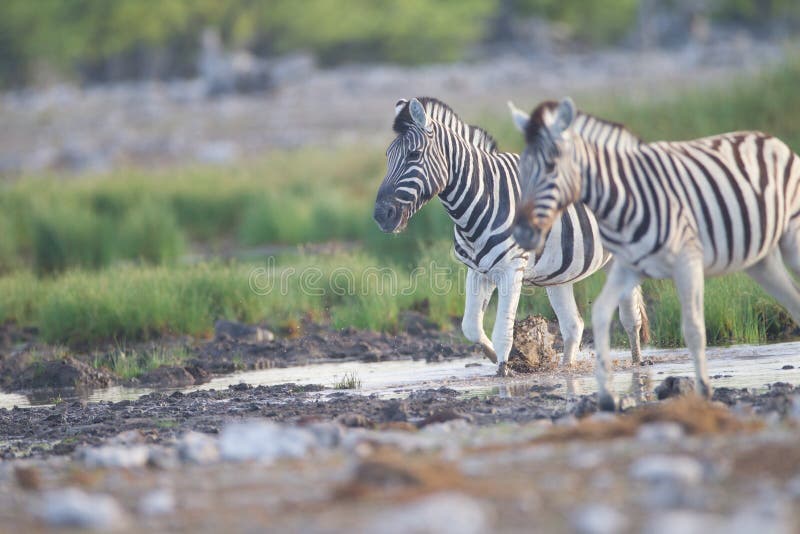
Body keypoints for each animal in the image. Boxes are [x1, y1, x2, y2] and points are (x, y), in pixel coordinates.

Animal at [373, 97, 649, 377]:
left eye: (414, 155)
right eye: (386, 156)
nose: (380, 215)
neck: (479, 202)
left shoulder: (511, 269)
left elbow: (502, 333)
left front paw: (505, 371)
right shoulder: (478, 271)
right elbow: (470, 327)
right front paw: (500, 358)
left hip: (621, 256)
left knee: (630, 318)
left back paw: (638, 363)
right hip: (559, 272)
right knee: (574, 324)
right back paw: (566, 367)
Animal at [508, 97, 800, 409]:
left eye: (551, 167)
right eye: (522, 169)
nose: (523, 232)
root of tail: (768, 138)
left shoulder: (687, 262)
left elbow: (693, 329)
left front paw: (703, 392)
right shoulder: (627, 266)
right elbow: (602, 314)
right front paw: (607, 395)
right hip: (762, 259)